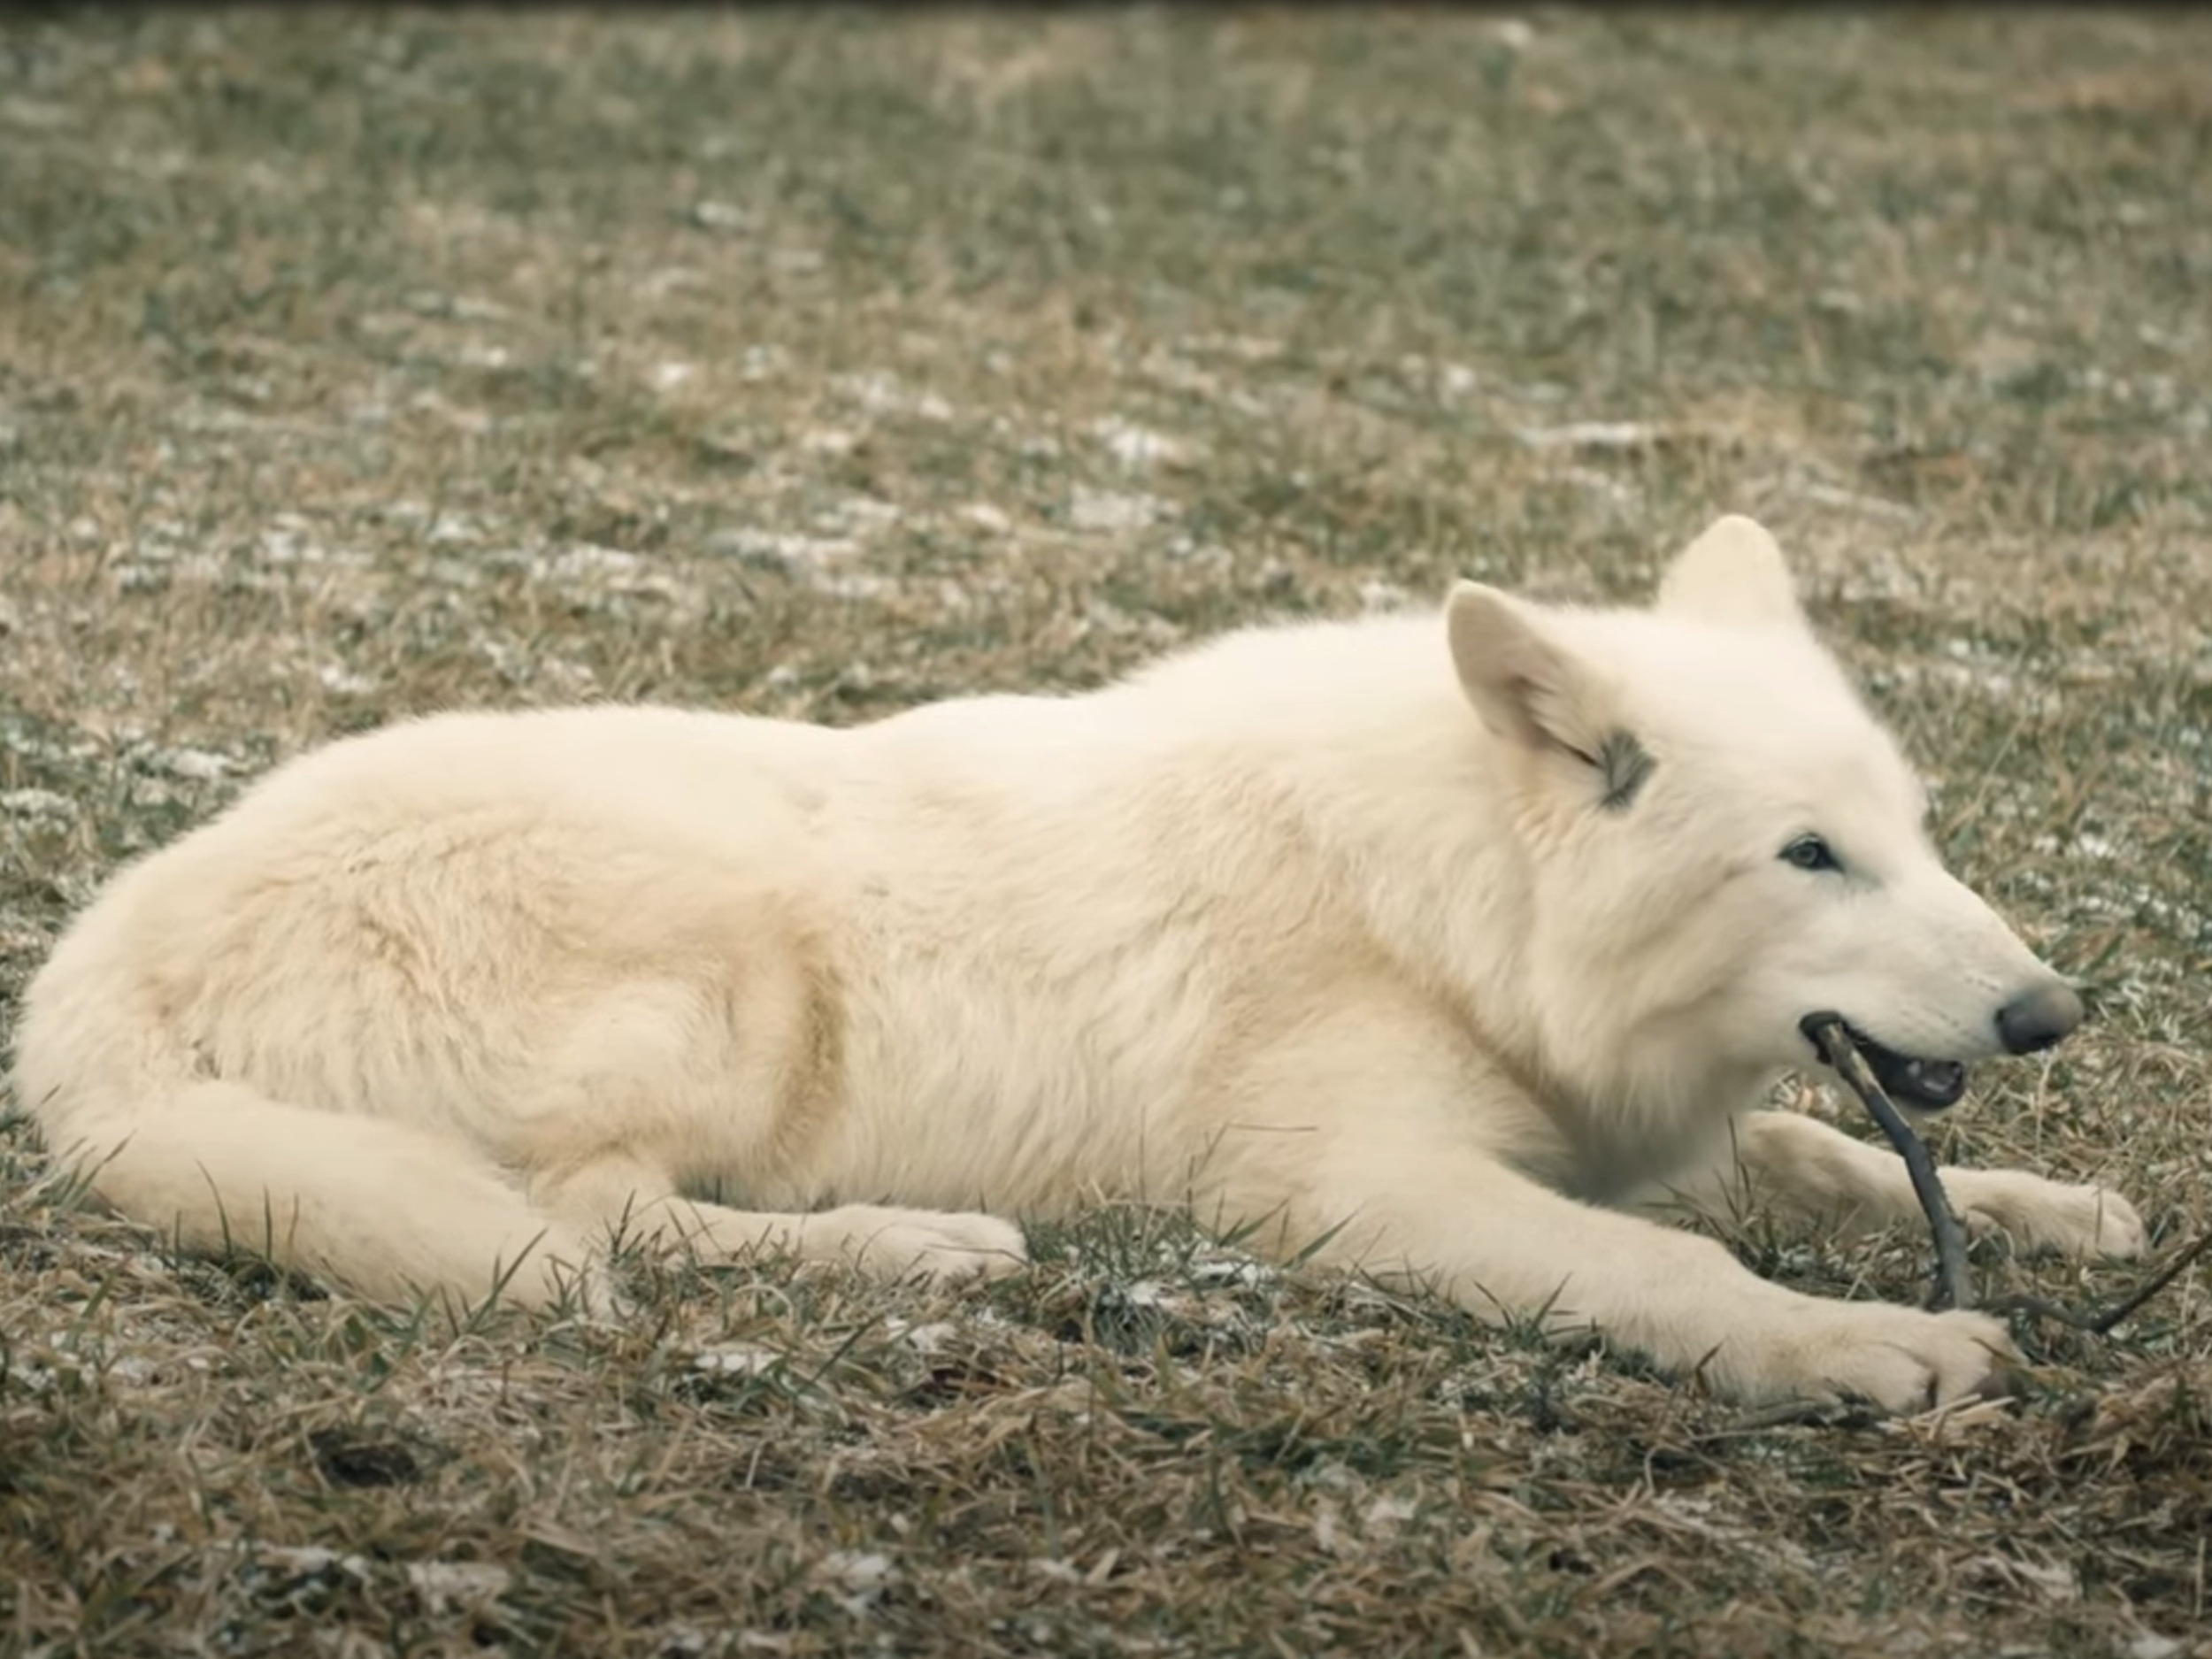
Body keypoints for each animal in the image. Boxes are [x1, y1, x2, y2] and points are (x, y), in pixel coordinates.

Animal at [12, 515, 2144, 1409]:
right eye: (1806, 856)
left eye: (1913, 832)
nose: (2047, 1013)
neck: (1454, 897)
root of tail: (109, 936)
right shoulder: (1355, 1194)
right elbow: (1670, 1267)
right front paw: (1864, 1349)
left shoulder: (1617, 1126)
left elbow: (1817, 1154)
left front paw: (2047, 1214)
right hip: (734, 971)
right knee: (598, 1219)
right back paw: (916, 1247)